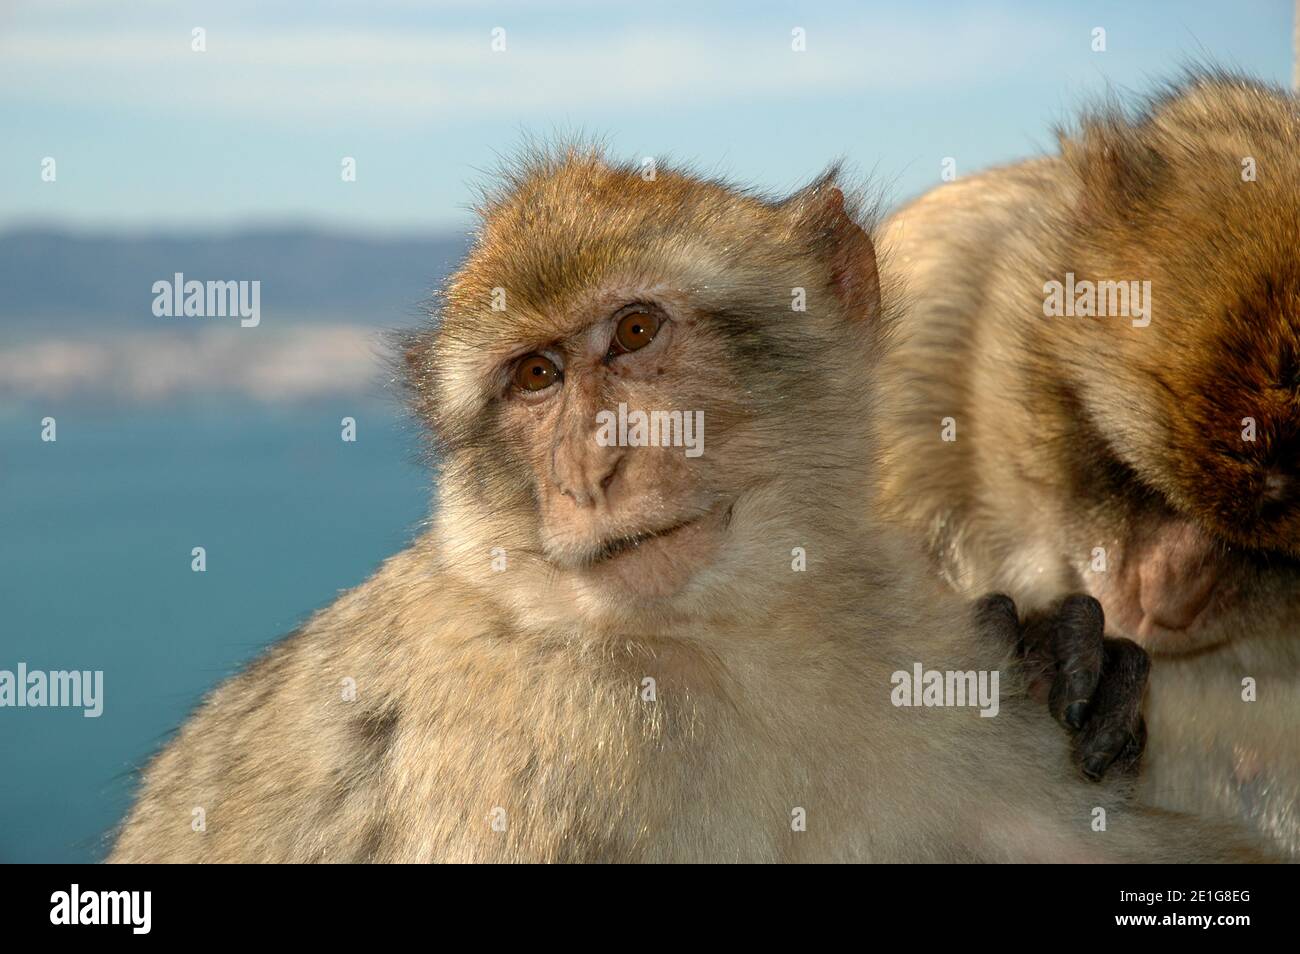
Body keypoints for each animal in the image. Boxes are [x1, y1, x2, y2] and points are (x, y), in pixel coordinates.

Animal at [109, 146, 1268, 863]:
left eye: (633, 332)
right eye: (534, 379)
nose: (591, 470)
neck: (720, 647)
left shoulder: (927, 659)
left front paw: (1077, 668)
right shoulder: (539, 747)